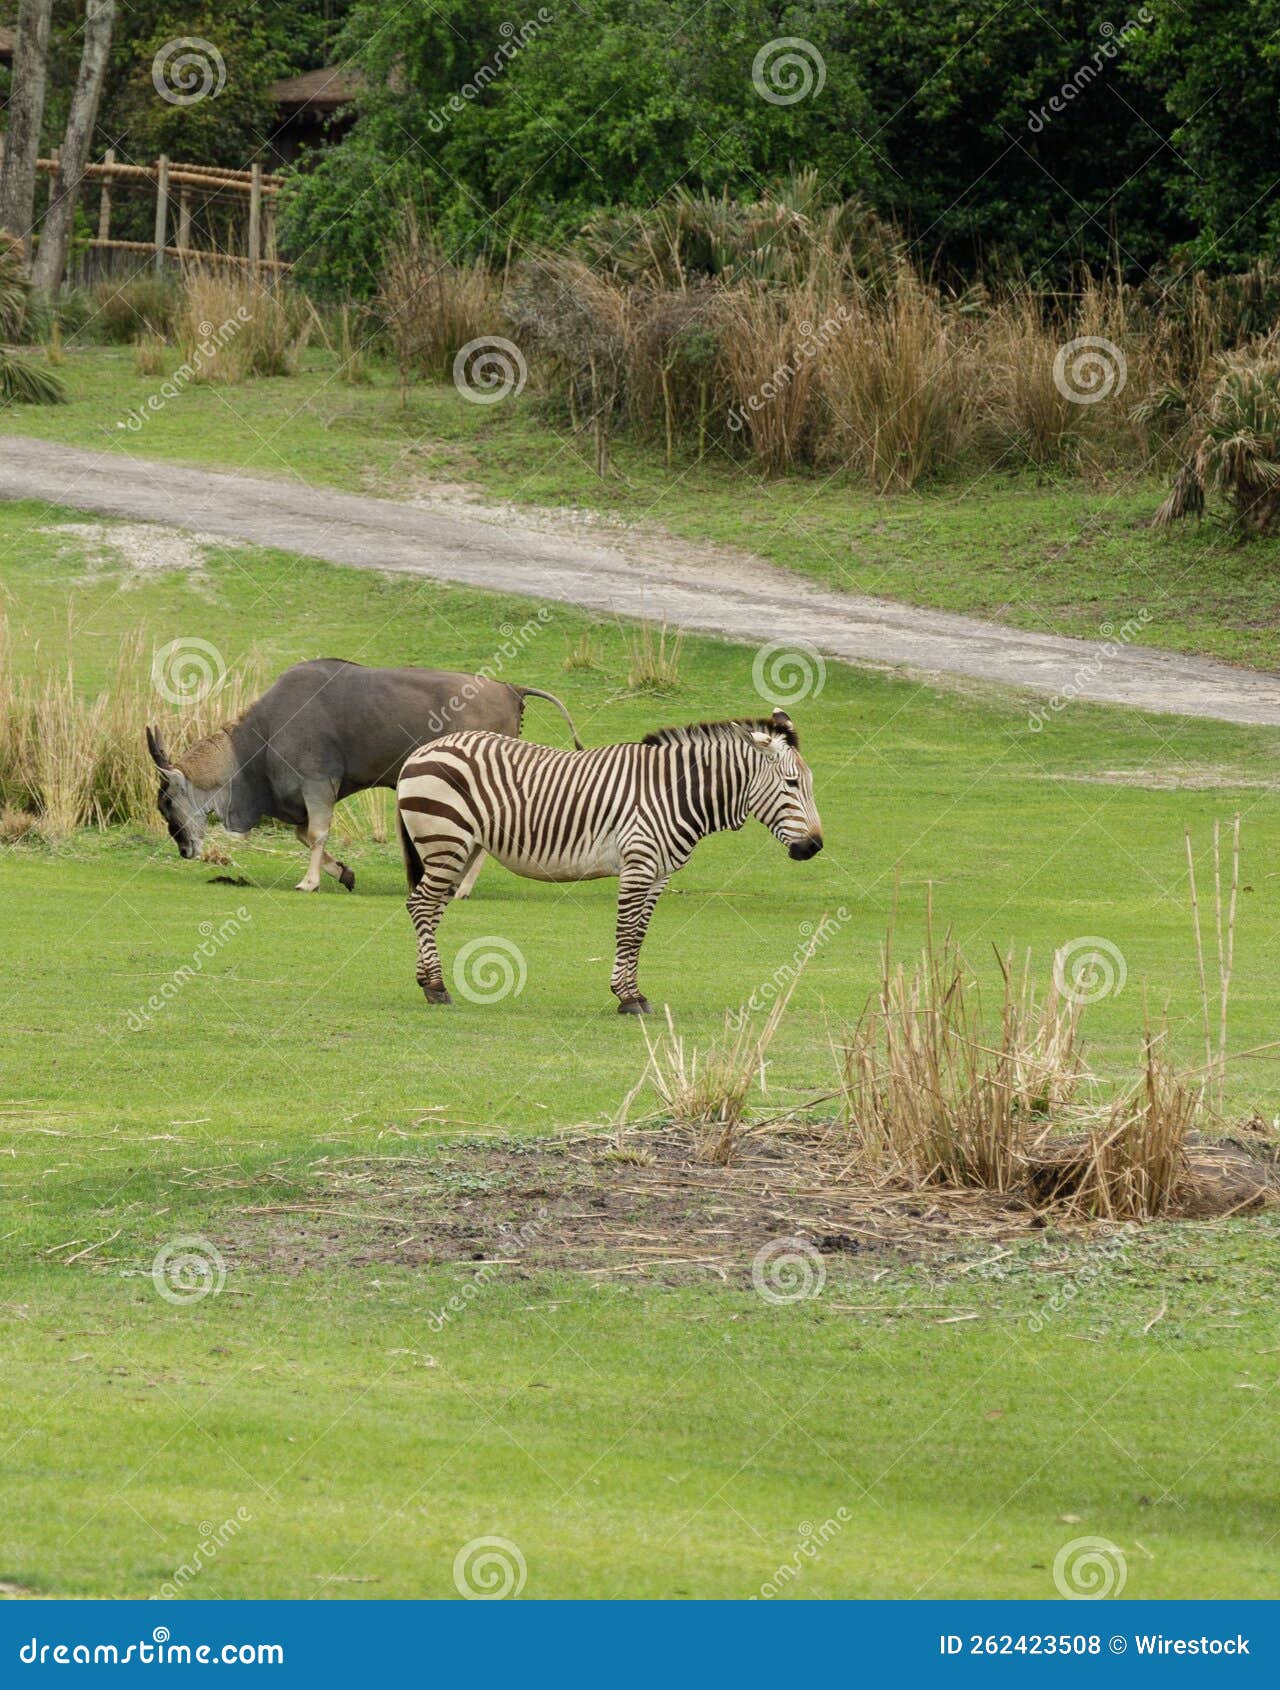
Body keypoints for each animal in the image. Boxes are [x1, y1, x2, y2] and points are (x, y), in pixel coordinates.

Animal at [146, 658, 581, 894]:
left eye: (166, 802)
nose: (184, 849)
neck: (261, 732)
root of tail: (511, 689)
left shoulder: (318, 783)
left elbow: (316, 834)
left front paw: (309, 882)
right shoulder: (308, 795)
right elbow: (304, 834)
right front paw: (345, 873)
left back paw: (463, 888)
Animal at [396, 707, 823, 1013]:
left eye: (810, 784)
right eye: (791, 784)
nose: (814, 847)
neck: (676, 792)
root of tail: (420, 751)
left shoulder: (660, 874)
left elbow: (641, 934)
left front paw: (635, 994)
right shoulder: (638, 864)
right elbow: (627, 932)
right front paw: (627, 997)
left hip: (456, 847)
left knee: (431, 908)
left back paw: (427, 981)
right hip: (445, 840)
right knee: (421, 905)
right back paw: (437, 987)